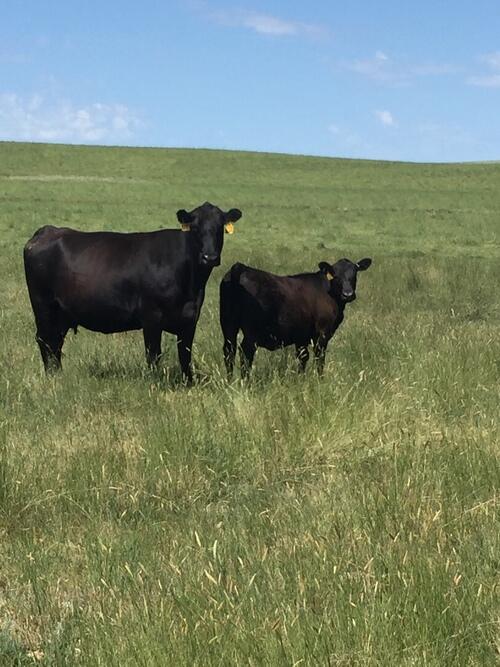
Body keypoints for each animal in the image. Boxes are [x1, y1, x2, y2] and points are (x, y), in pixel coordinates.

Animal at [24, 202, 242, 382]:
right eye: (195, 228)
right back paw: (52, 378)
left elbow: (185, 353)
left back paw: (58, 375)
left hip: (61, 313)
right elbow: (153, 354)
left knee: (56, 342)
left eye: (220, 227)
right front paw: (154, 383)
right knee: (45, 340)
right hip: (43, 306)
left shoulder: (190, 317)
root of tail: (46, 231)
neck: (191, 282)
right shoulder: (151, 317)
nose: (209, 257)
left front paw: (189, 382)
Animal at [219, 257, 372, 378]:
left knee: (229, 351)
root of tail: (241, 267)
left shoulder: (301, 336)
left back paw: (229, 382)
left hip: (228, 325)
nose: (348, 294)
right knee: (245, 353)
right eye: (335, 275)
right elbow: (319, 358)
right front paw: (320, 380)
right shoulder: (323, 333)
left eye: (355, 273)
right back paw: (246, 383)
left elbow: (302, 357)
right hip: (251, 332)